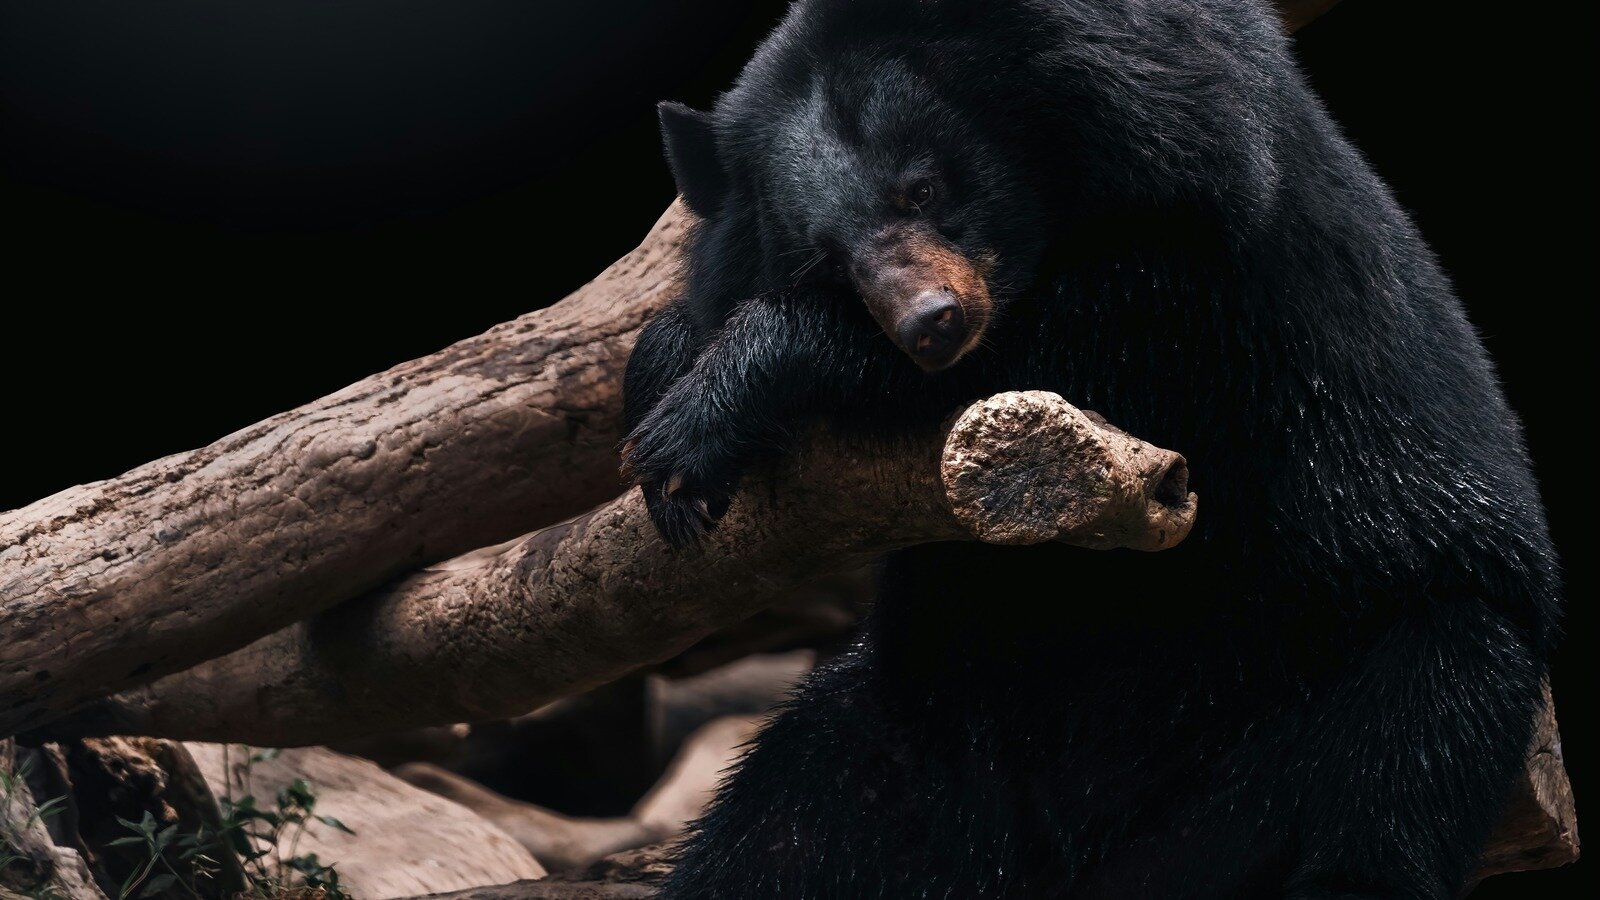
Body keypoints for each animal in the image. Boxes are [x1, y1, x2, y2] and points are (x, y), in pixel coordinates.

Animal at [620, 0, 1561, 896]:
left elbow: (1079, 336)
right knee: (775, 832)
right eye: (826, 257)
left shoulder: (1211, 260)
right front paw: (667, 385)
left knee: (1399, 768)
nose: (932, 325)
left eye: (920, 187)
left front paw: (709, 409)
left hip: (1390, 652)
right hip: (908, 734)